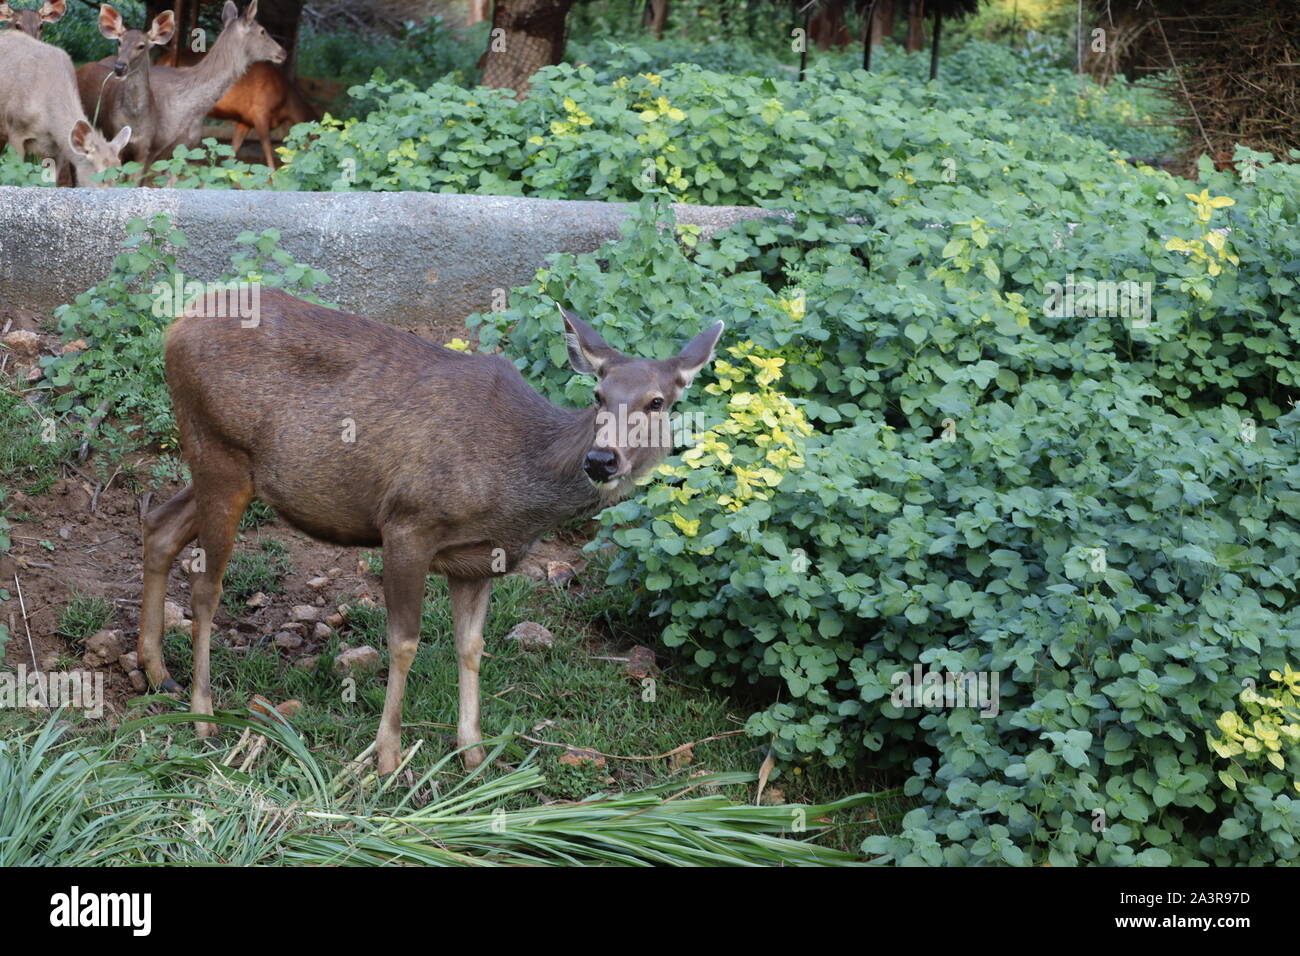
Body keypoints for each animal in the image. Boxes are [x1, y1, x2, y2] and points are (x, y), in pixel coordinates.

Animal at [76, 5, 175, 168]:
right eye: (119, 42)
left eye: (141, 46)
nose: (119, 67)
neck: (134, 119)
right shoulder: (114, 136)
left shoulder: (144, 147)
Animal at [138, 288, 723, 775]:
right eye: (599, 394)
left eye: (657, 402)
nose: (602, 460)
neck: (517, 489)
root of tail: (175, 325)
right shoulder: (407, 521)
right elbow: (404, 642)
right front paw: (387, 757)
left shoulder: (481, 558)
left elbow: (471, 646)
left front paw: (473, 754)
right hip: (219, 450)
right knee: (206, 586)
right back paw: (202, 715)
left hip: (231, 469)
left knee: (159, 525)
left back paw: (158, 672)